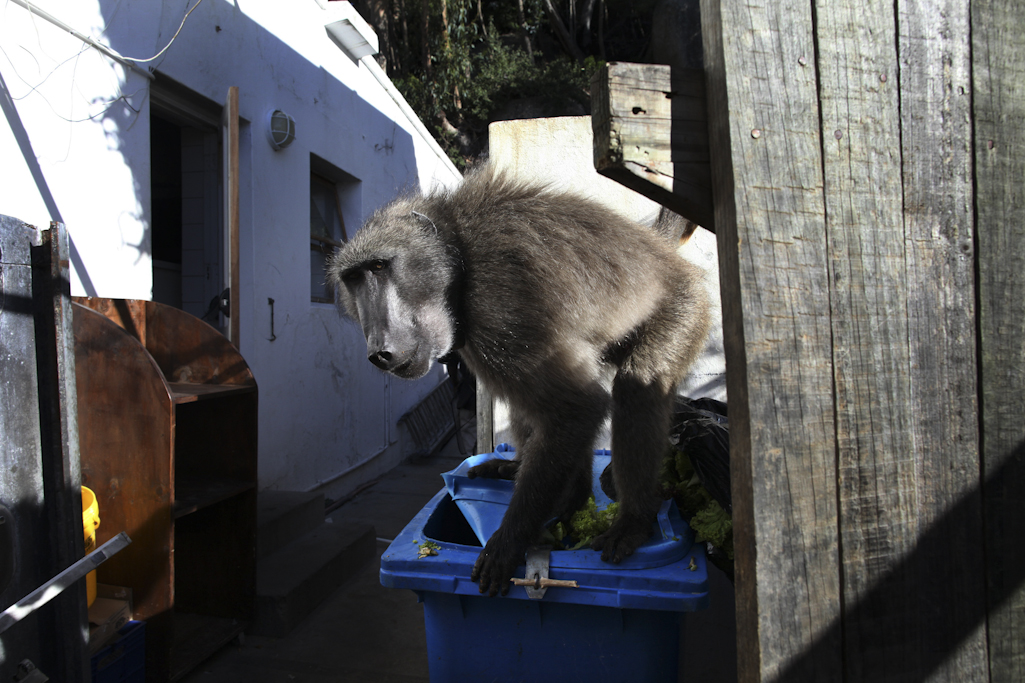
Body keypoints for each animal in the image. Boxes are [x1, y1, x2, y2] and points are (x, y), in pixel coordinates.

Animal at [328, 165, 710, 596]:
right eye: (353, 278)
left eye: (379, 267)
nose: (378, 351)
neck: (460, 251)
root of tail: (662, 253)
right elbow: (571, 410)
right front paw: (557, 501)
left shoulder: (500, 304)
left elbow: (579, 406)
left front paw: (509, 542)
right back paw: (532, 477)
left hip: (684, 305)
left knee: (637, 385)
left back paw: (634, 521)